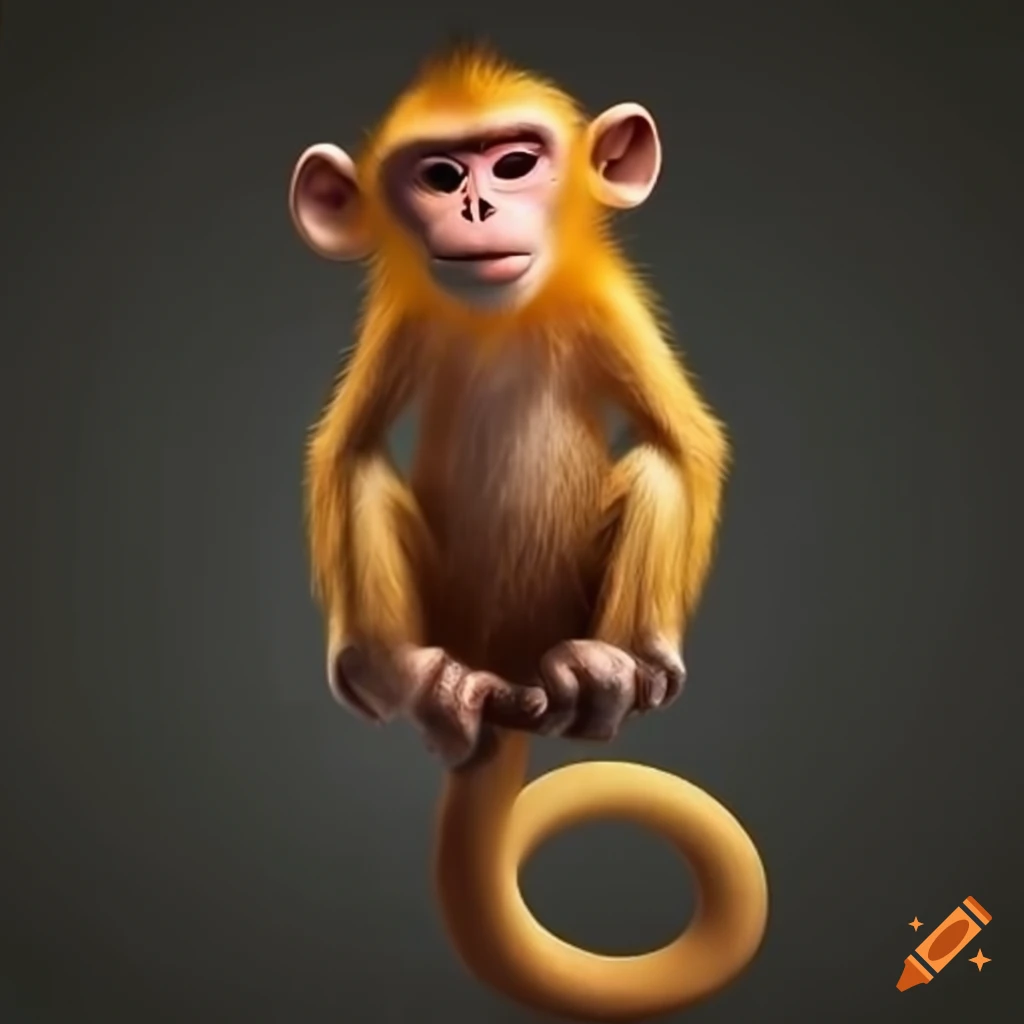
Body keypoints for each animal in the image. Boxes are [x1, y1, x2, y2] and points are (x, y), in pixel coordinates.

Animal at [289, 42, 768, 1022]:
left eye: (514, 163)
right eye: (439, 175)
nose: (477, 206)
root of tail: (508, 665)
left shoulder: (608, 303)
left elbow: (685, 445)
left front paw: (650, 656)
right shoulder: (407, 319)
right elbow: (346, 453)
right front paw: (365, 669)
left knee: (654, 467)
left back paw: (601, 668)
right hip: (449, 614)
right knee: (371, 482)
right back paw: (425, 680)